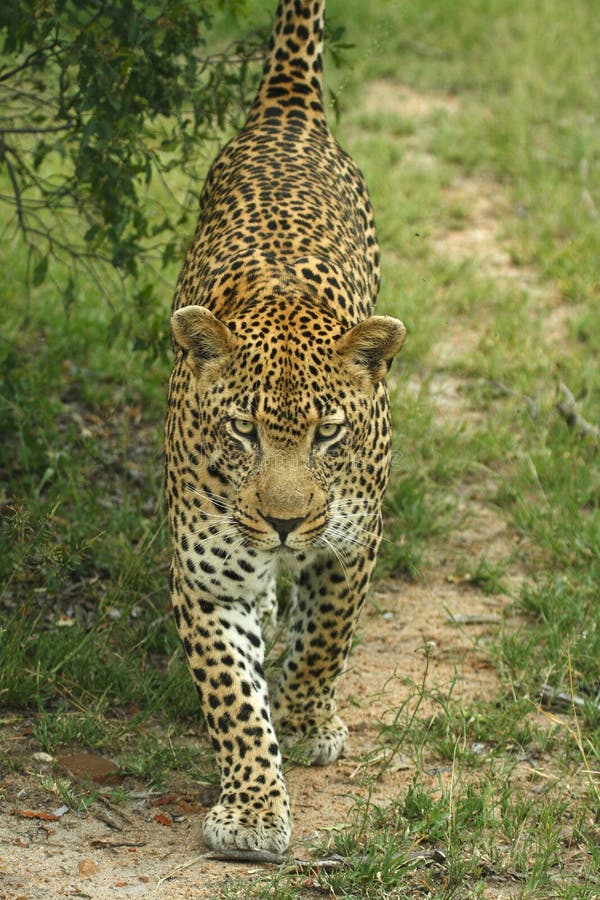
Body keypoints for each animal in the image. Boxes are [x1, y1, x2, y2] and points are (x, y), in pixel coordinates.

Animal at [165, 0, 406, 854]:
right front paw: (253, 811)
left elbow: (328, 636)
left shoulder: (354, 542)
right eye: (243, 431)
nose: (282, 521)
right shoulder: (206, 579)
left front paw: (305, 719)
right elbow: (234, 701)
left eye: (329, 434)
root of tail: (287, 112)